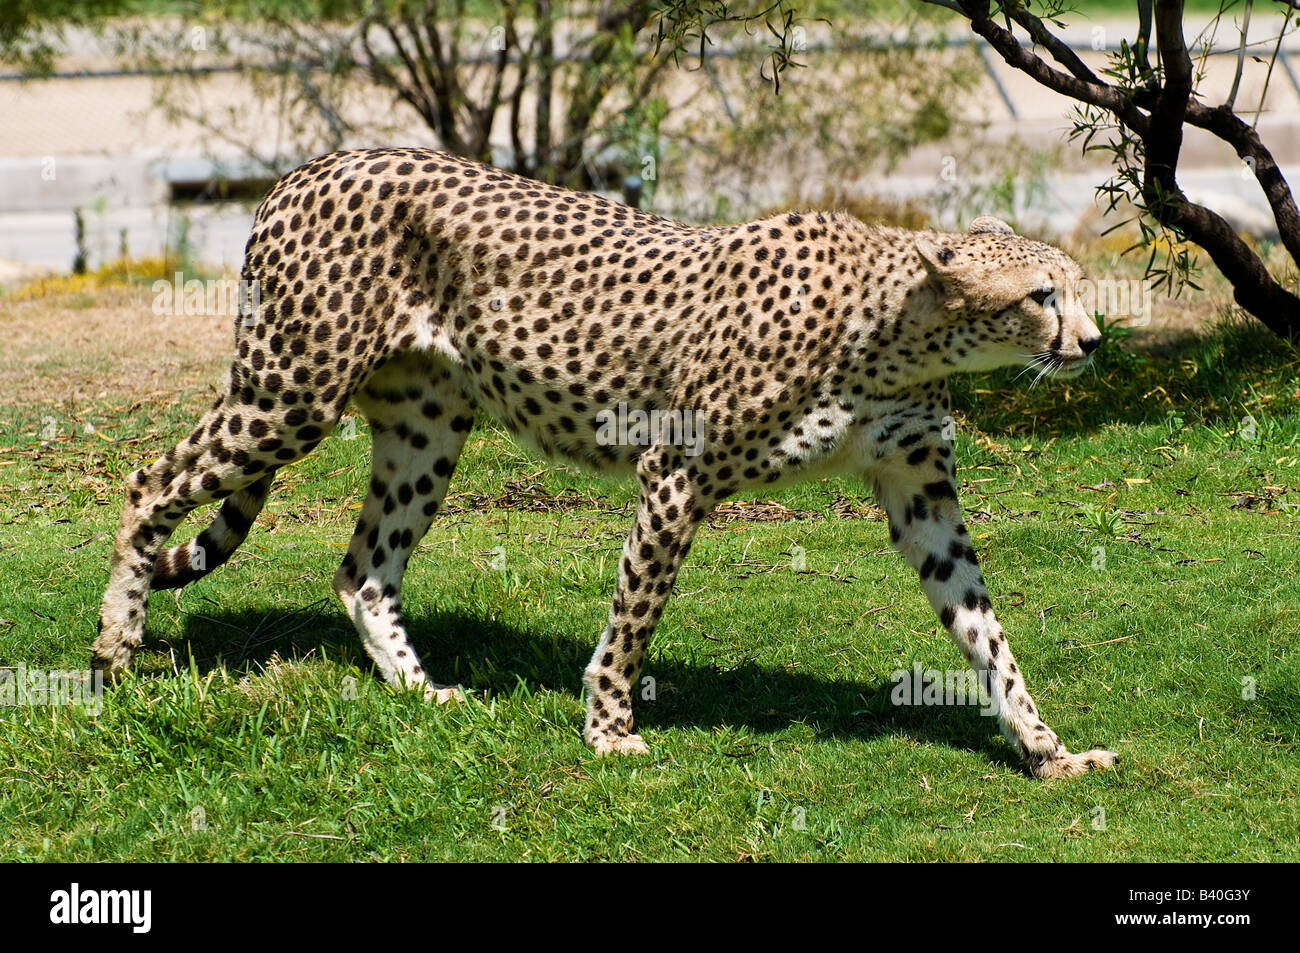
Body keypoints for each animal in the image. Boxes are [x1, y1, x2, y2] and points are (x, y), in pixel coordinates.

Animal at [93, 147, 1118, 779]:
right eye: (1042, 295)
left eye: (1071, 289)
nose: (1094, 341)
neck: (898, 331)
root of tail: (309, 167)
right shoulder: (675, 472)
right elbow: (635, 615)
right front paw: (609, 729)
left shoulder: (920, 494)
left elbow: (988, 635)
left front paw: (1047, 749)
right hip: (290, 395)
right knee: (148, 485)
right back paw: (113, 651)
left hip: (427, 425)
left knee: (363, 569)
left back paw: (424, 690)